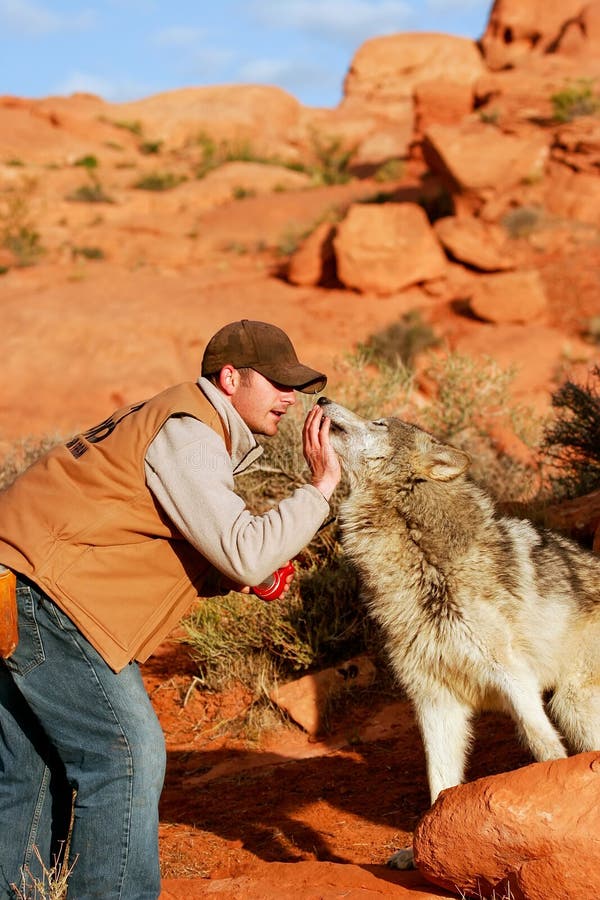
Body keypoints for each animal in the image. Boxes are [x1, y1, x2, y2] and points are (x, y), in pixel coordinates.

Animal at [318, 397, 600, 868]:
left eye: (378, 422)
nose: (322, 400)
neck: (423, 566)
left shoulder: (513, 676)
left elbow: (542, 743)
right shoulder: (434, 699)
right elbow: (439, 783)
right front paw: (423, 851)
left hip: (574, 702)